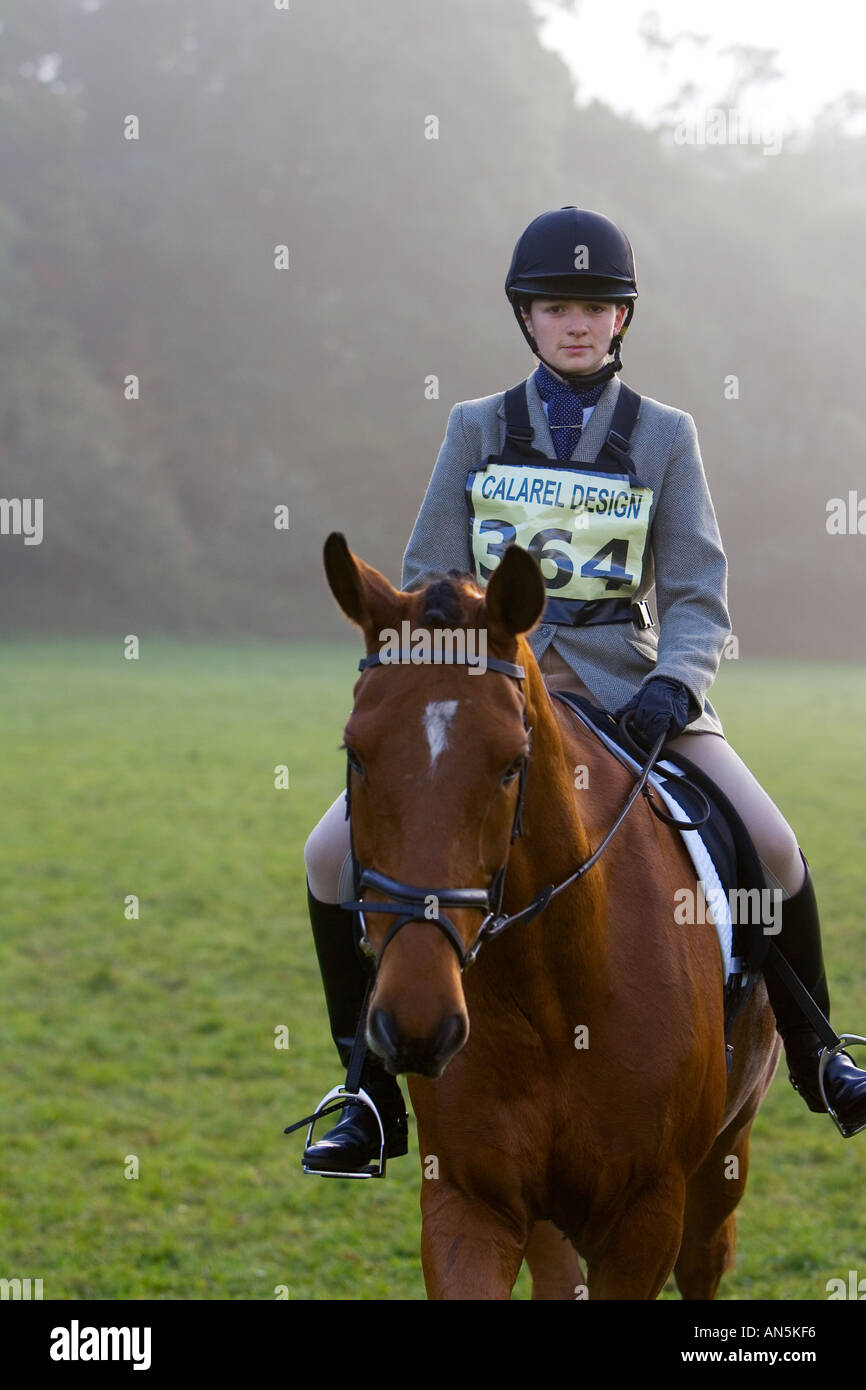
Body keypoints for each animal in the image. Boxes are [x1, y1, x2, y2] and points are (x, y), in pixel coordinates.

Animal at [323, 531, 780, 1300]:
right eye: (355, 751)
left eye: (513, 763)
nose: (416, 1021)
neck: (552, 991)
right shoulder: (471, 1205)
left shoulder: (645, 1219)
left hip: (724, 1162)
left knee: (707, 1257)